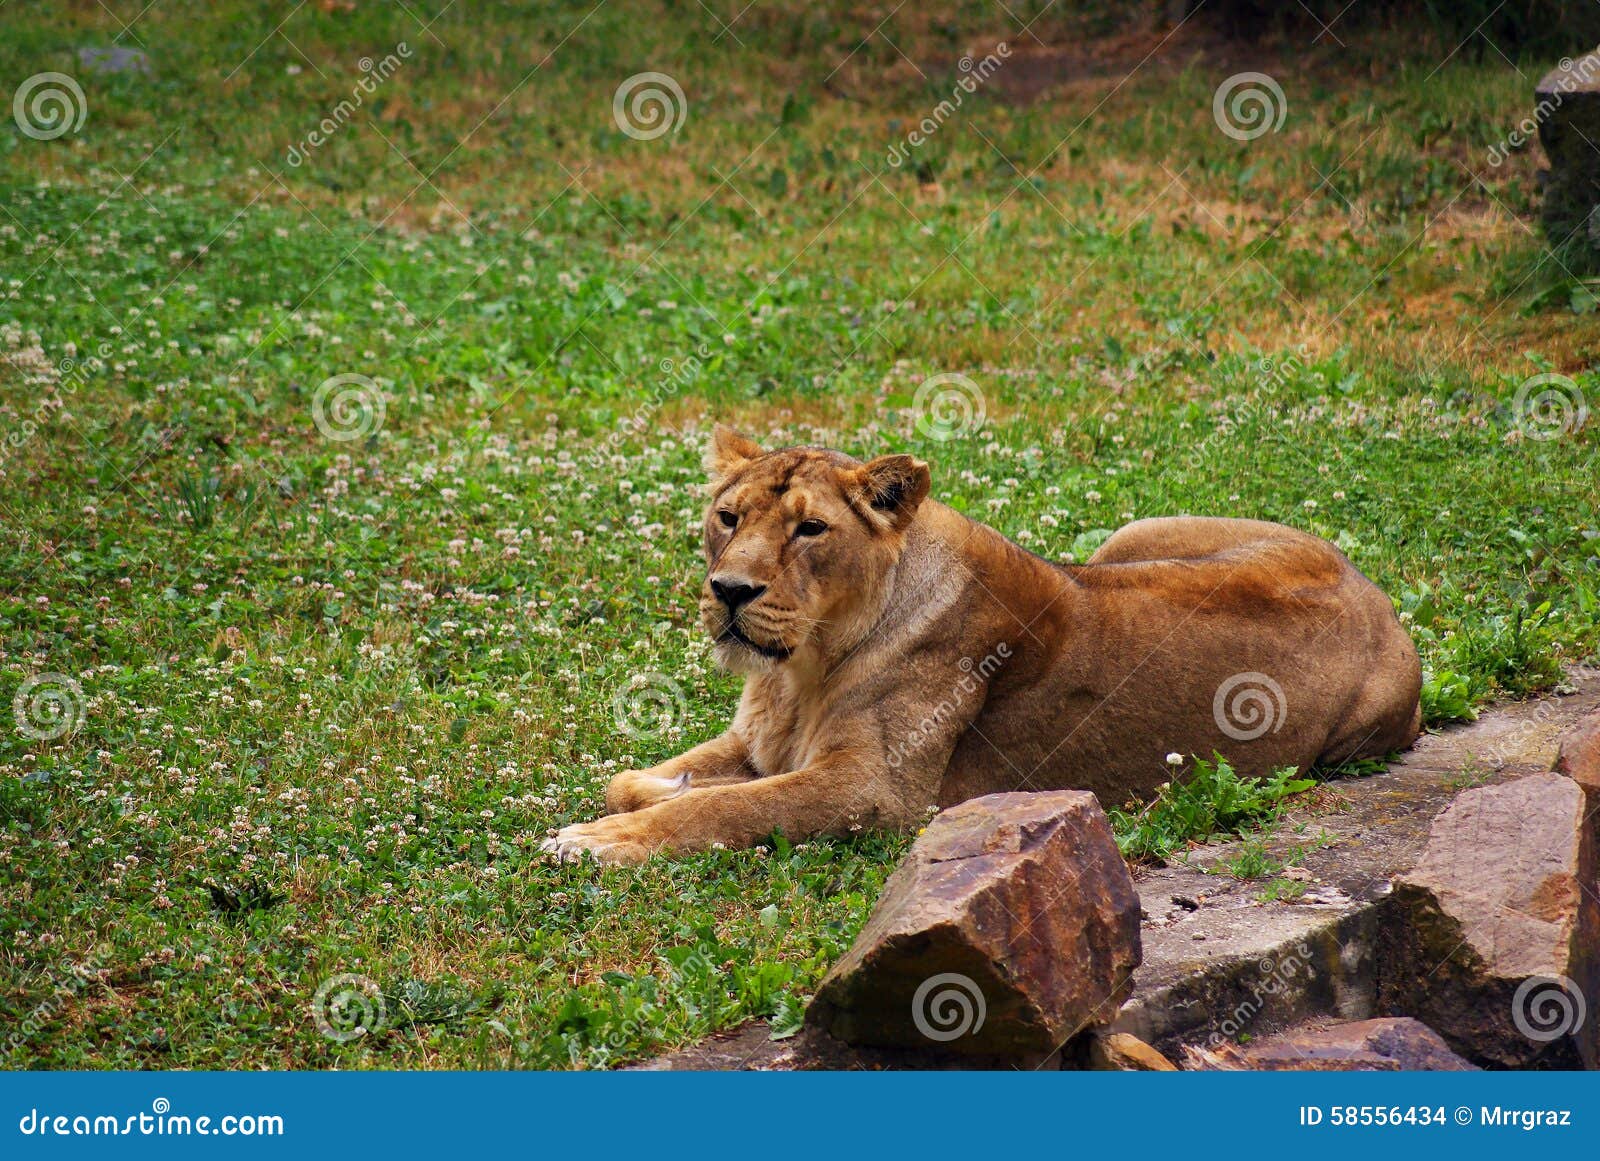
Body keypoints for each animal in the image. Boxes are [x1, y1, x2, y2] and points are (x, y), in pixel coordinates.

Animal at [543, 426, 1422, 864]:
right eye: (728, 517)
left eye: (809, 529)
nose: (729, 591)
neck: (802, 668)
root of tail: (1376, 593)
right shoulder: (758, 739)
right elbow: (641, 781)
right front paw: (651, 791)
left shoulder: (878, 793)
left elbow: (730, 807)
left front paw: (595, 841)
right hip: (1126, 539)